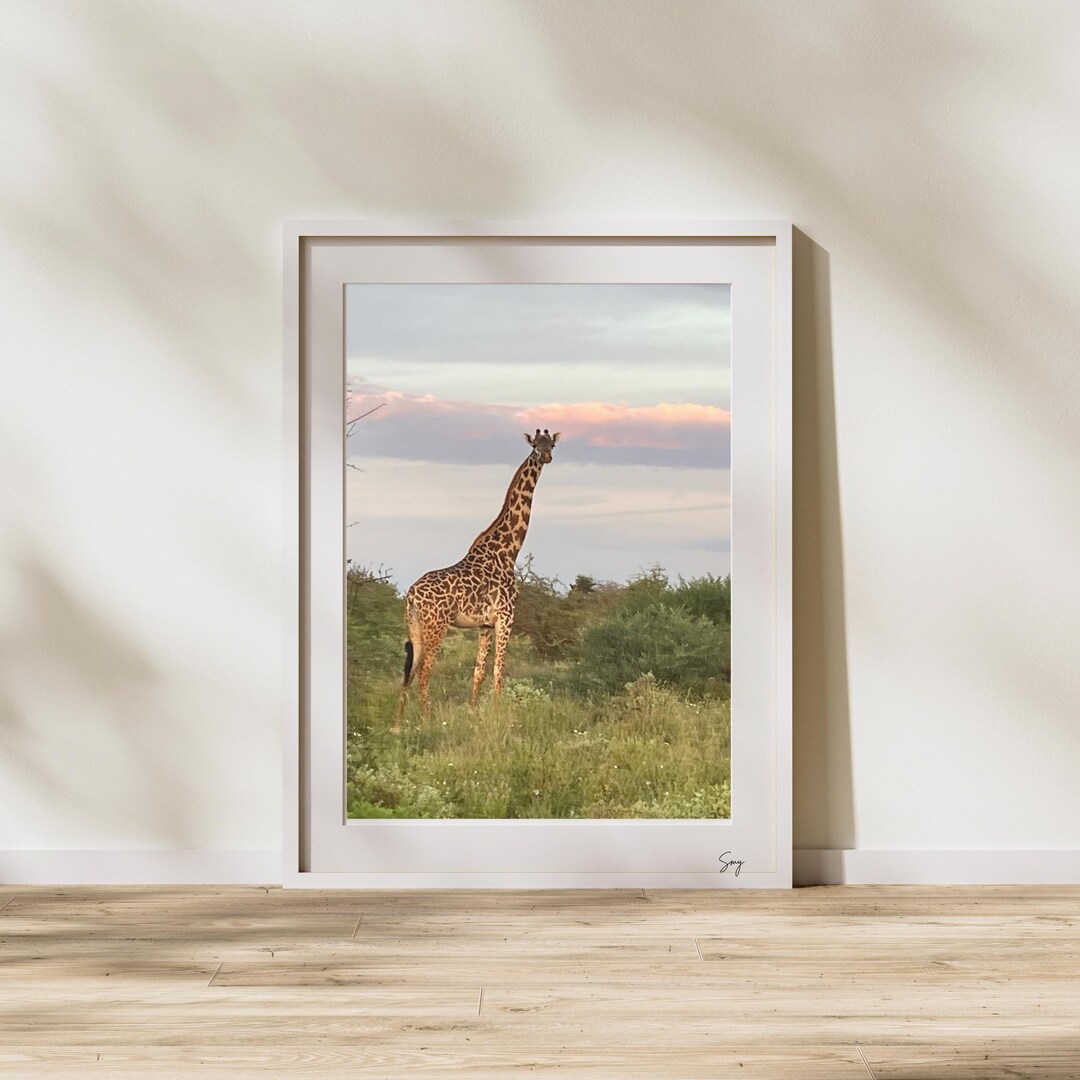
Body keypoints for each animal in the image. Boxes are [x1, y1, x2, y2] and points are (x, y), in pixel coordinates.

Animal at [393, 428, 560, 727]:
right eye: (535, 446)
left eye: (551, 444)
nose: (547, 457)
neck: (508, 551)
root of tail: (411, 594)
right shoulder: (506, 617)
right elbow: (498, 670)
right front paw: (497, 713)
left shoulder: (485, 624)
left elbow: (479, 671)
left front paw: (473, 712)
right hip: (437, 625)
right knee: (424, 669)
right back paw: (426, 719)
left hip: (414, 625)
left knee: (409, 670)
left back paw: (397, 724)